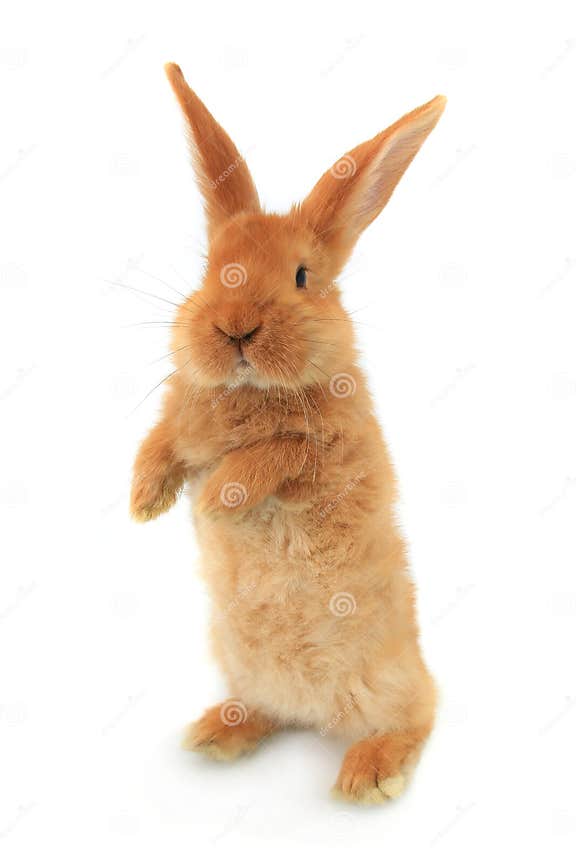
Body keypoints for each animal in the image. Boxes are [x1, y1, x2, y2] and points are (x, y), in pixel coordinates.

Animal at [130, 62, 446, 804]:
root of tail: (316, 713)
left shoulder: (328, 454)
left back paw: (369, 772)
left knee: (421, 714)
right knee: (270, 712)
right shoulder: (179, 422)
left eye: (303, 277)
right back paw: (218, 732)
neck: (248, 391)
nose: (235, 328)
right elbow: (162, 441)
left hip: (392, 681)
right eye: (211, 269)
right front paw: (145, 500)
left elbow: (275, 454)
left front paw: (217, 497)